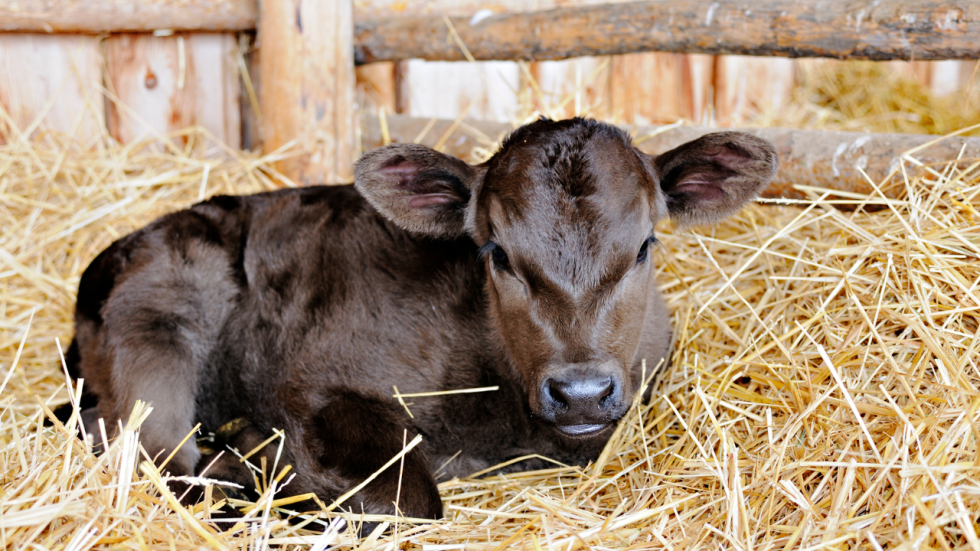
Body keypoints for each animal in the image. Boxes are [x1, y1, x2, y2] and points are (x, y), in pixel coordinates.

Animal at [64, 117, 777, 521]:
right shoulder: (315, 386)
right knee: (157, 461)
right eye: (497, 253)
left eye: (644, 246)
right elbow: (411, 503)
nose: (580, 391)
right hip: (160, 329)